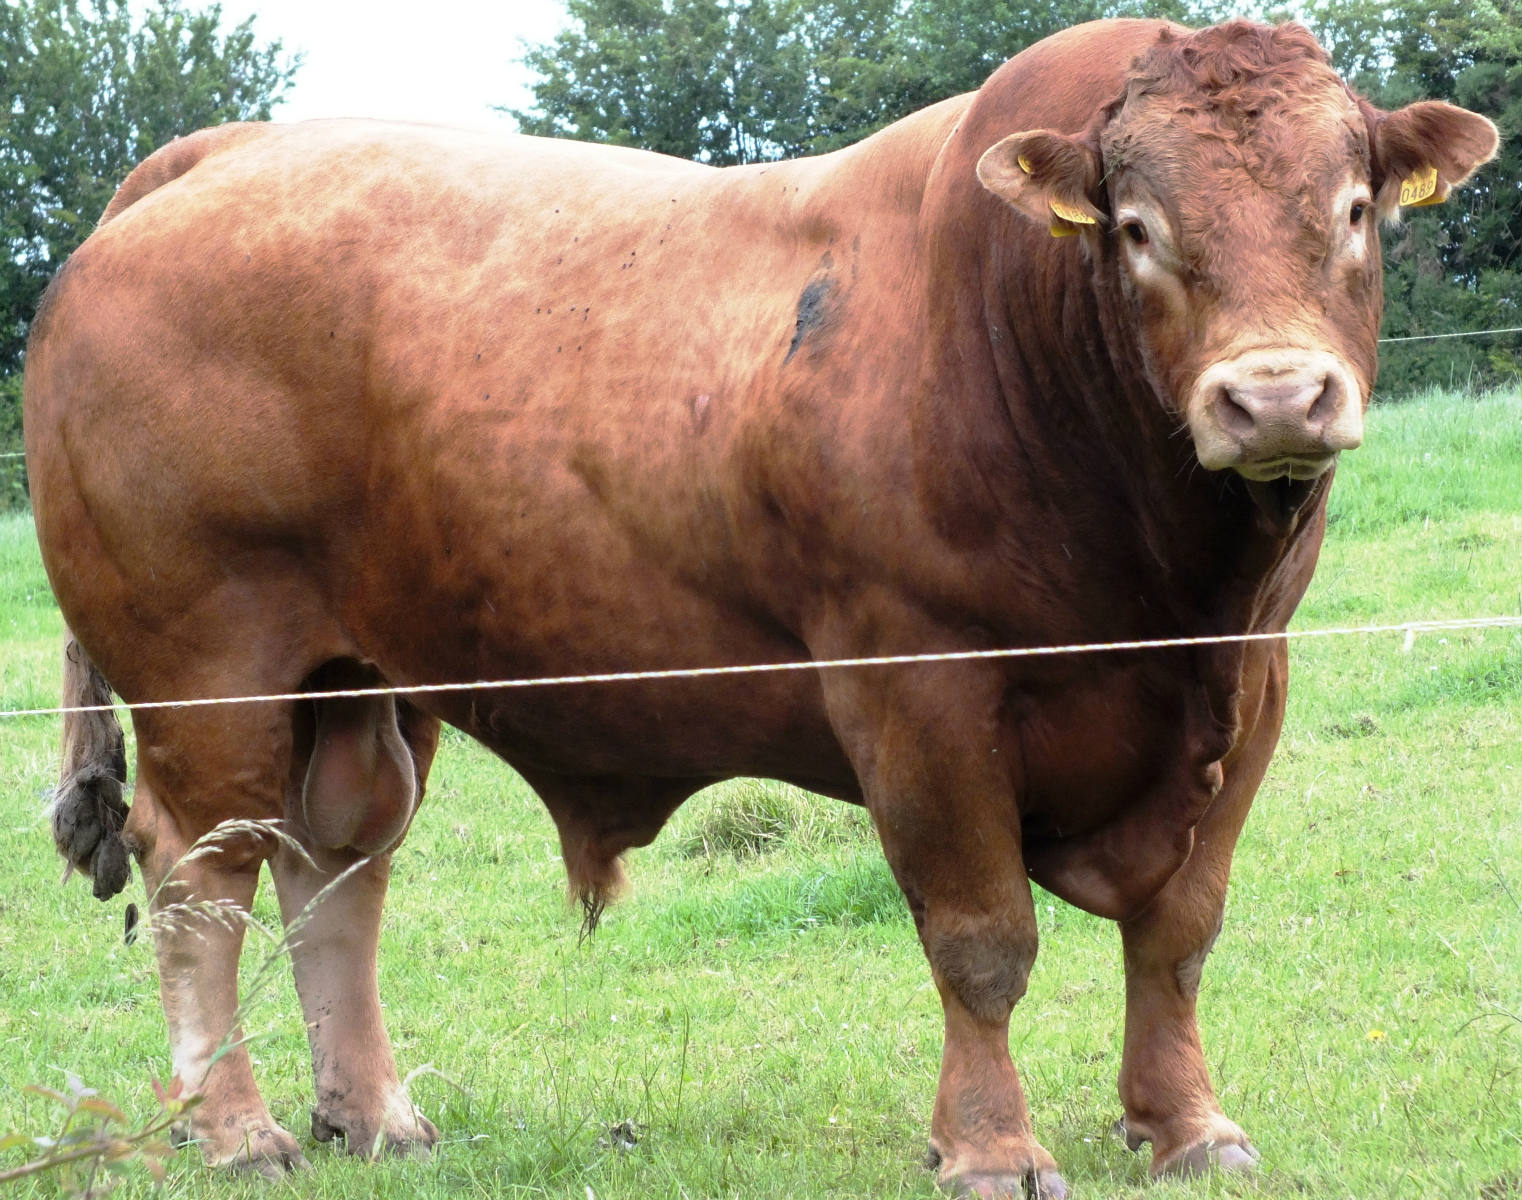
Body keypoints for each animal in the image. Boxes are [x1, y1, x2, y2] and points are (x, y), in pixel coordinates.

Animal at [24, 18, 1496, 1198]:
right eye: (1138, 230)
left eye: (1352, 207)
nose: (1274, 397)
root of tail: (209, 159)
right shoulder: (920, 688)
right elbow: (981, 941)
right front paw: (991, 1148)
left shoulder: (1250, 684)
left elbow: (1178, 930)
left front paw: (1186, 1126)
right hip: (209, 665)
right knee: (200, 873)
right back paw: (235, 1128)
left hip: (359, 677)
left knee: (335, 861)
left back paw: (374, 1116)